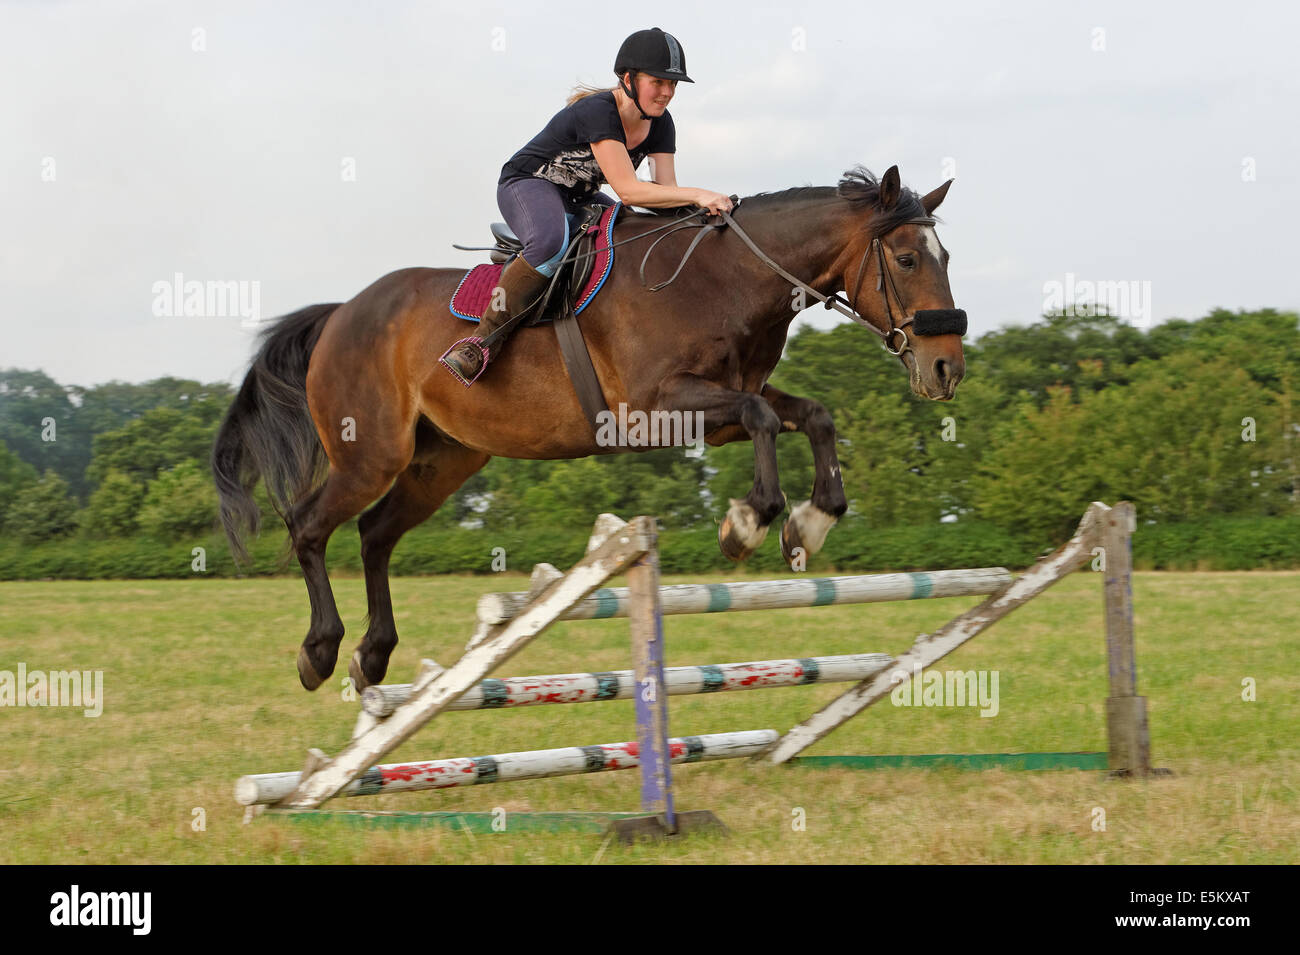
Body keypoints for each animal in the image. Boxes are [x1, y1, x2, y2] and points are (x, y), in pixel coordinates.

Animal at [212, 164, 967, 692]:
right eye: (906, 259)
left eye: (947, 258)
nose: (946, 368)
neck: (724, 279)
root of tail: (340, 312)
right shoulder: (654, 409)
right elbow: (763, 420)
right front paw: (749, 522)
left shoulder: (721, 403)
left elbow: (811, 414)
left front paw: (811, 523)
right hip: (369, 454)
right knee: (310, 527)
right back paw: (320, 652)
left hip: (441, 462)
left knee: (374, 535)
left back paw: (373, 656)